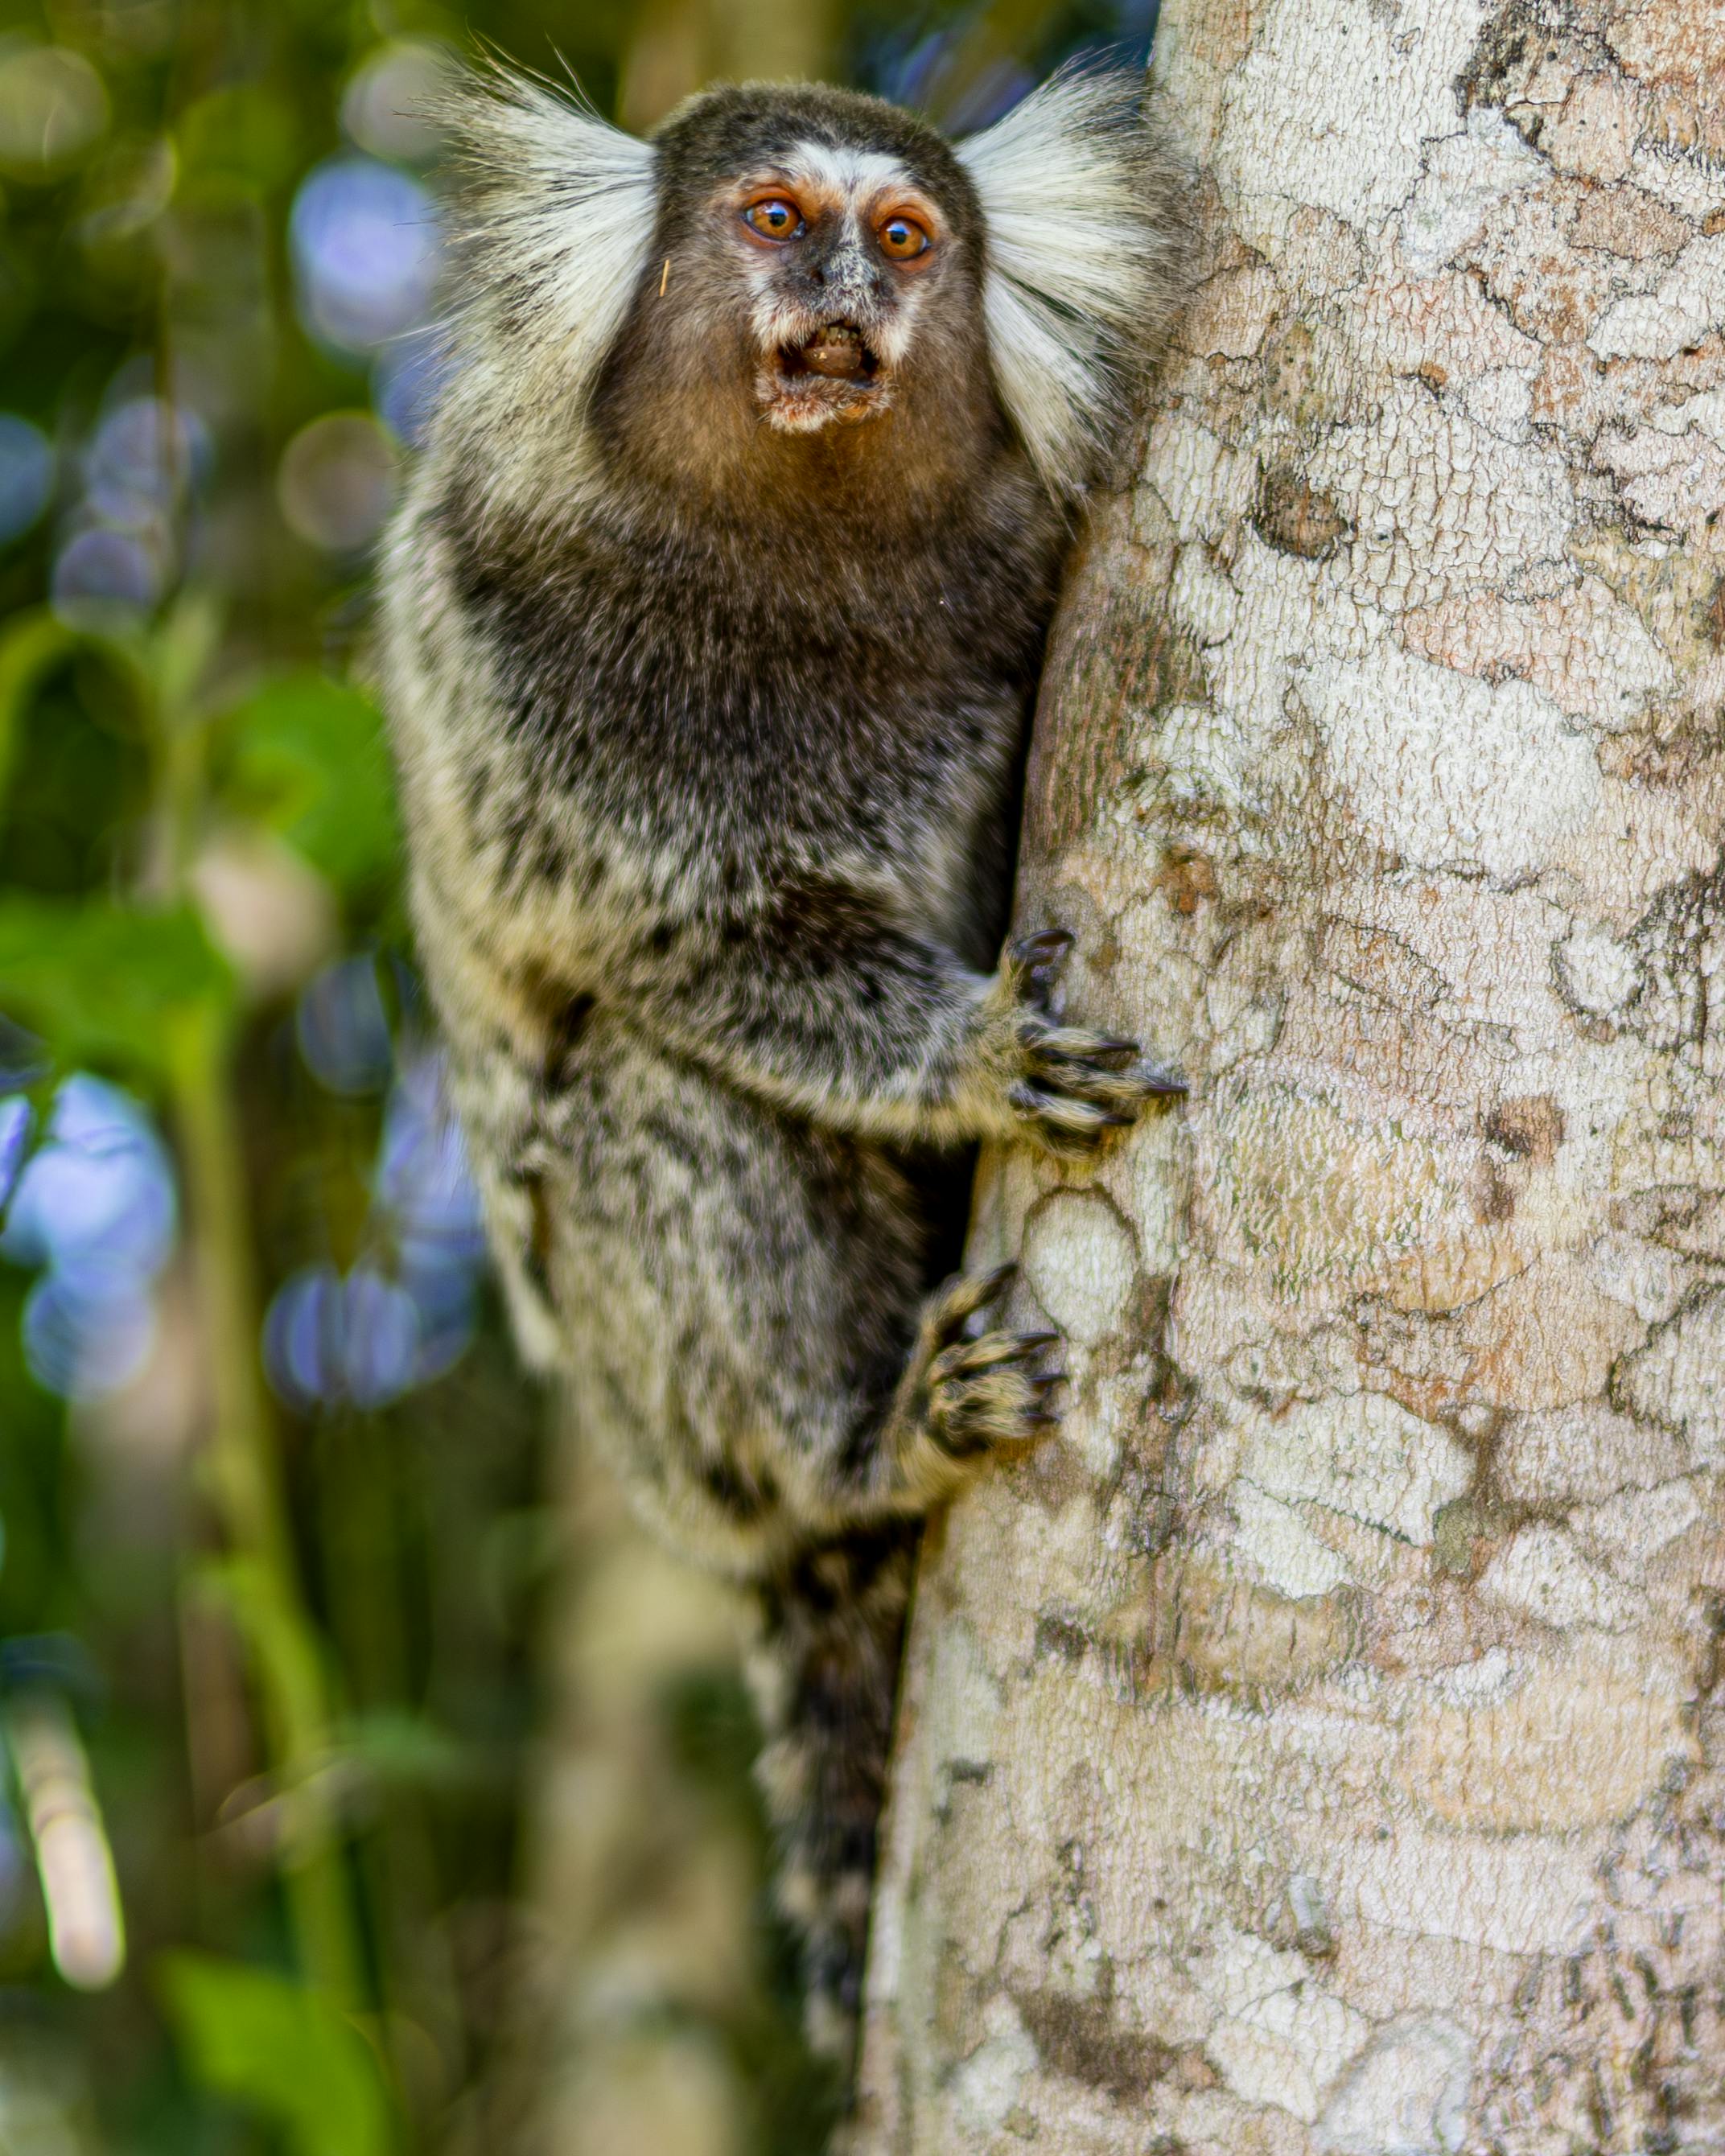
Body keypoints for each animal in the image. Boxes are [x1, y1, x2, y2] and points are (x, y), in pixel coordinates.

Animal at [377, 59, 1186, 2075]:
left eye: (901, 235)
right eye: (769, 219)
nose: (842, 290)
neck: (797, 572)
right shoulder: (510, 645)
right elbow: (687, 959)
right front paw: (972, 1053)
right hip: (658, 1417)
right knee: (653, 1104)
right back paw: (868, 1451)